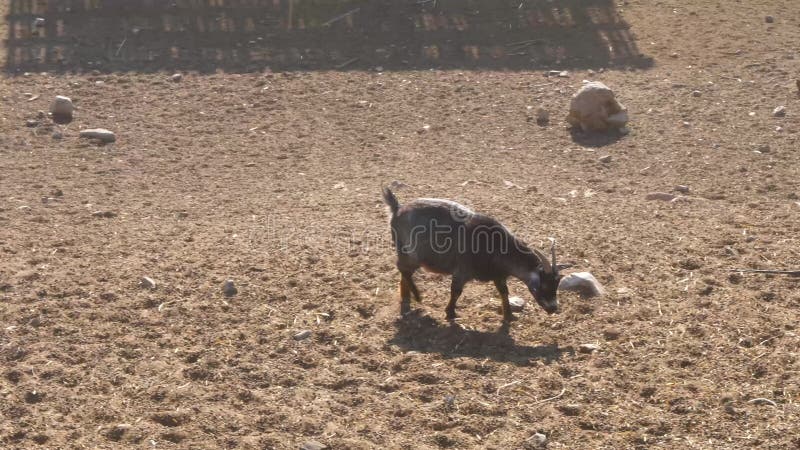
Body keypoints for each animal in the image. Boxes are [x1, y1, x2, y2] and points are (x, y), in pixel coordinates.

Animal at [382, 187, 567, 322]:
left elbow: (504, 292)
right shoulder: (462, 272)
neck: (496, 247)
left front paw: (508, 316)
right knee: (402, 268)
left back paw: (406, 296)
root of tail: (397, 208)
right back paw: (417, 296)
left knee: (404, 272)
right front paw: (450, 313)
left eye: (557, 284)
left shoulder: (498, 275)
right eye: (543, 285)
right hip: (409, 253)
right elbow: (456, 291)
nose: (553, 308)